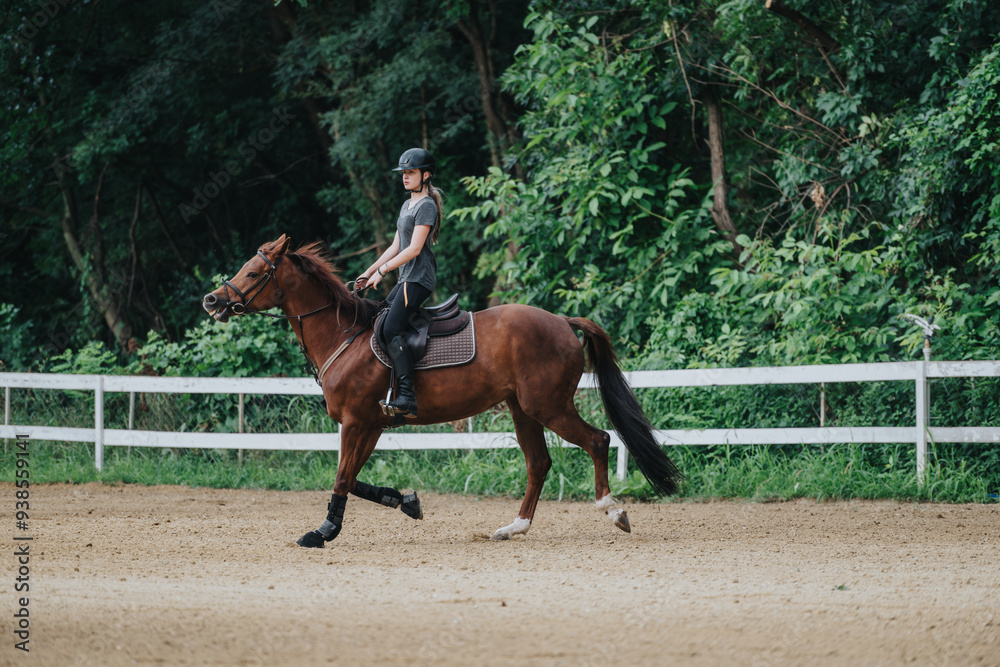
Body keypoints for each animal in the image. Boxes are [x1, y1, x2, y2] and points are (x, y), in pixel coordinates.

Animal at [202, 235, 682, 547]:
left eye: (254, 272)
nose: (212, 301)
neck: (345, 336)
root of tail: (562, 321)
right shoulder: (372, 425)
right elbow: (353, 479)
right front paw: (406, 501)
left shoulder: (357, 422)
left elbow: (341, 478)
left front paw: (323, 533)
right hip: (523, 409)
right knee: (539, 463)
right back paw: (515, 528)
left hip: (548, 406)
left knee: (598, 440)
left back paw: (612, 510)